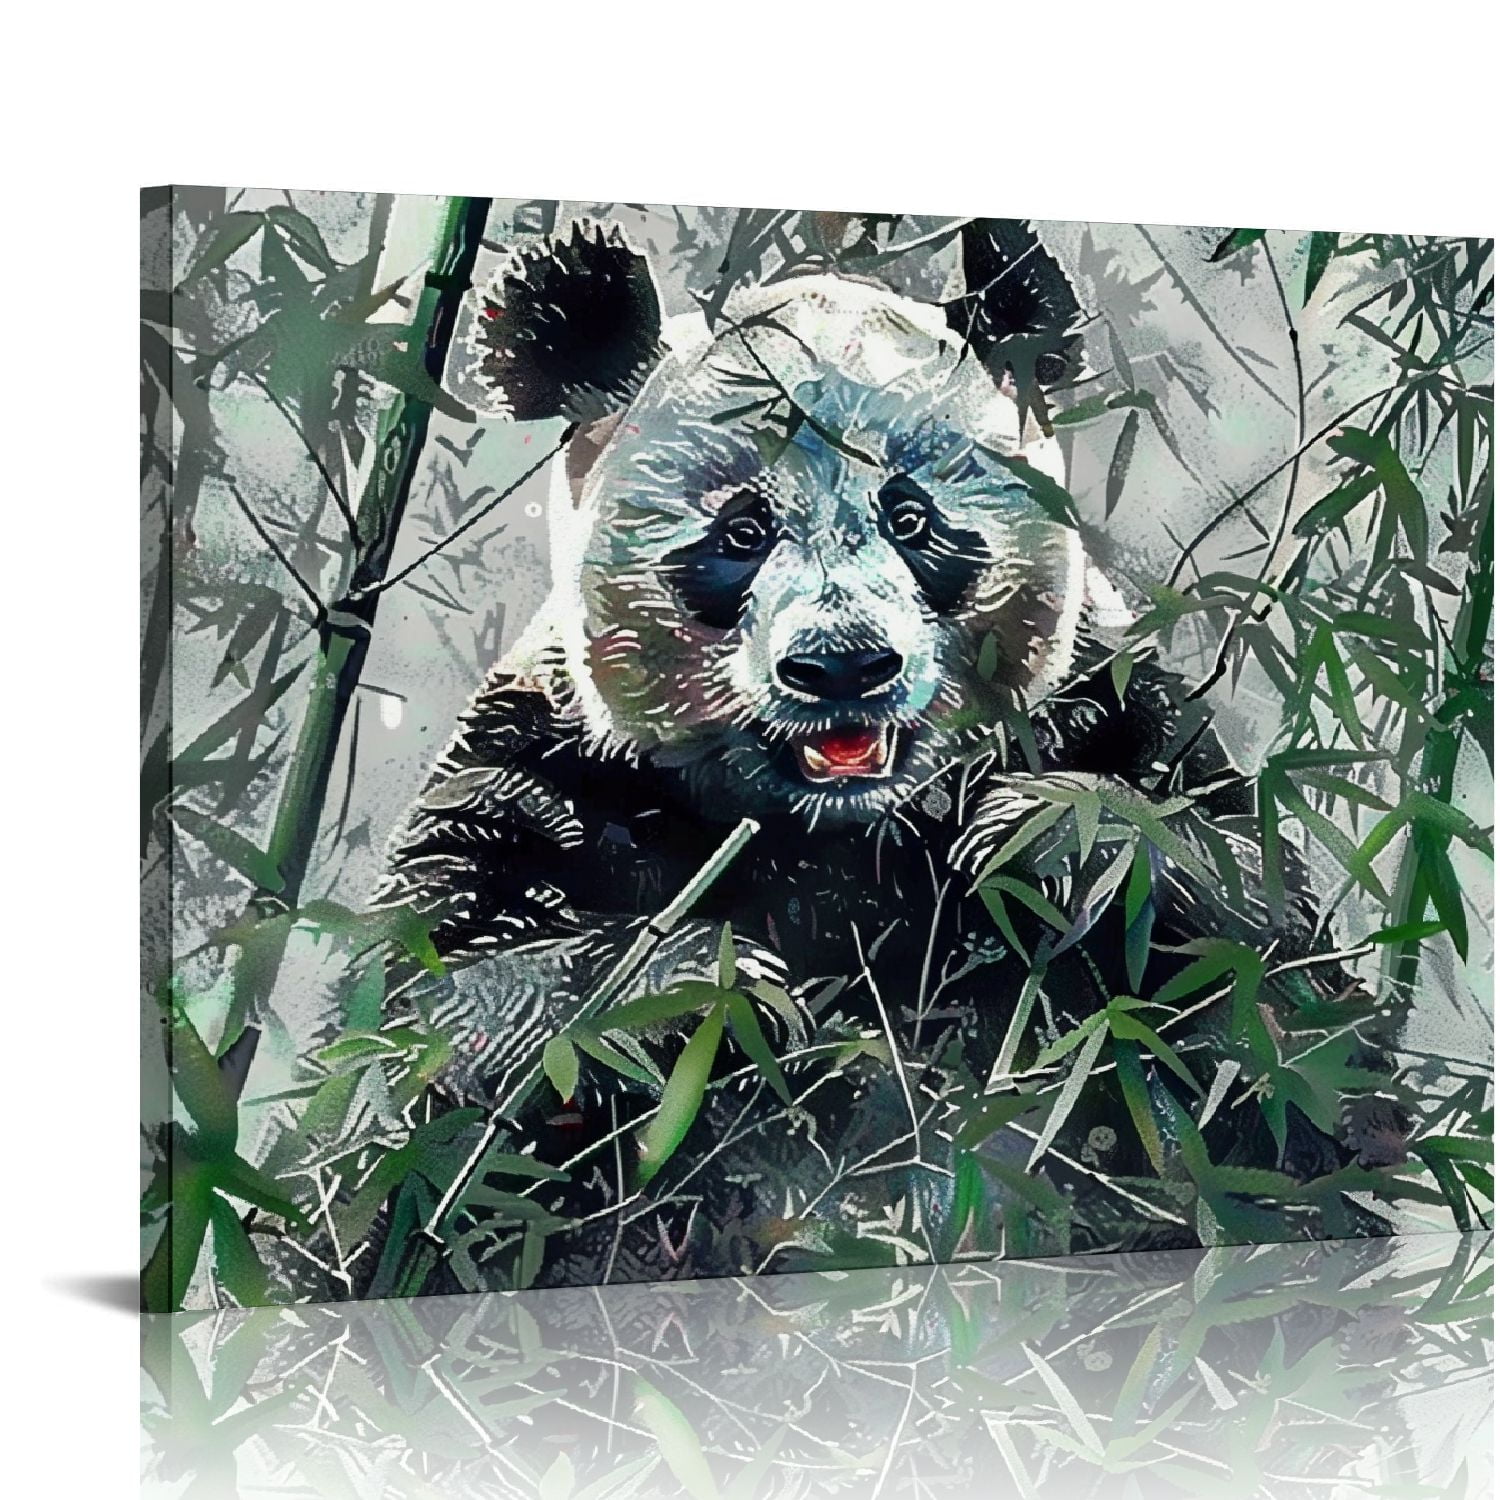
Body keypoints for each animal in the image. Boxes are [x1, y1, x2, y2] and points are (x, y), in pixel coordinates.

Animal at [371, 219, 1404, 1292]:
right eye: (743, 530)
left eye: (910, 518)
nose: (842, 666)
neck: (840, 832)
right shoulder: (551, 767)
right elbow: (428, 1032)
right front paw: (719, 987)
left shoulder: (1120, 715)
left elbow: (1306, 1052)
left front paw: (1047, 835)